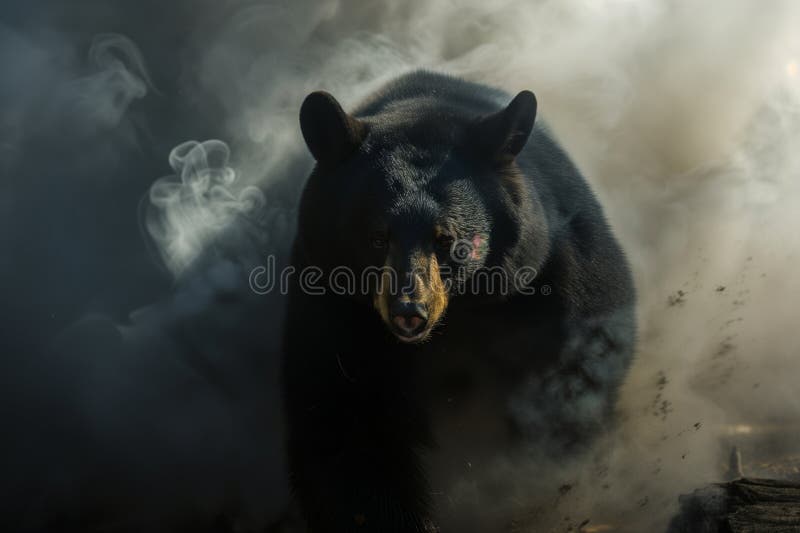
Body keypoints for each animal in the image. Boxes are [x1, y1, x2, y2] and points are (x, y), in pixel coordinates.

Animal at [281, 70, 636, 532]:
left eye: (447, 240)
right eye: (377, 237)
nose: (409, 313)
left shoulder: (552, 274)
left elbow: (578, 369)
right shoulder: (332, 311)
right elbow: (342, 428)